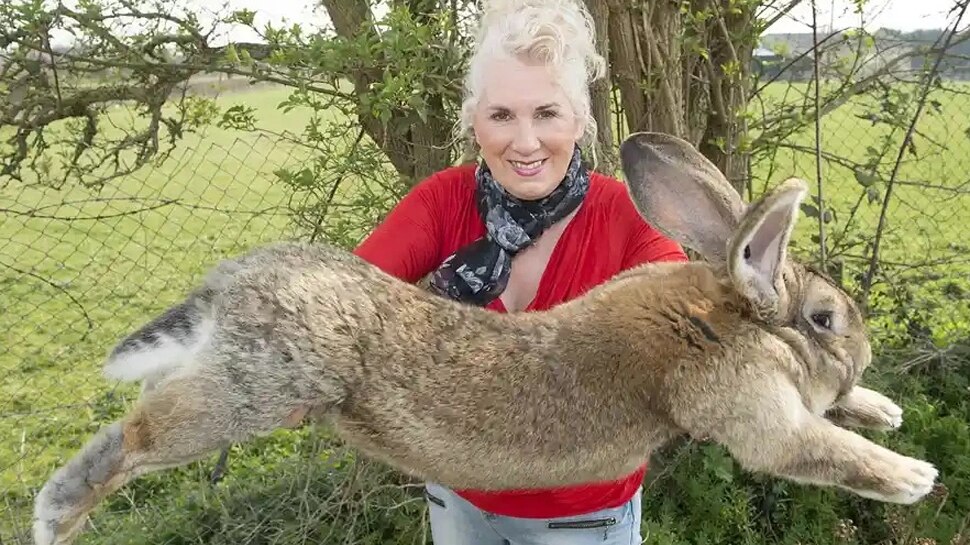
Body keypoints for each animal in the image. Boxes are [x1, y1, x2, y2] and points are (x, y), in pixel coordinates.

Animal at [32, 132, 936, 545]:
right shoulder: (754, 410)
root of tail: (232, 284)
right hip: (249, 392)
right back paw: (55, 513)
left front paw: (883, 408)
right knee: (135, 436)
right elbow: (818, 448)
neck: (726, 315)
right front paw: (912, 474)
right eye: (826, 318)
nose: (862, 352)